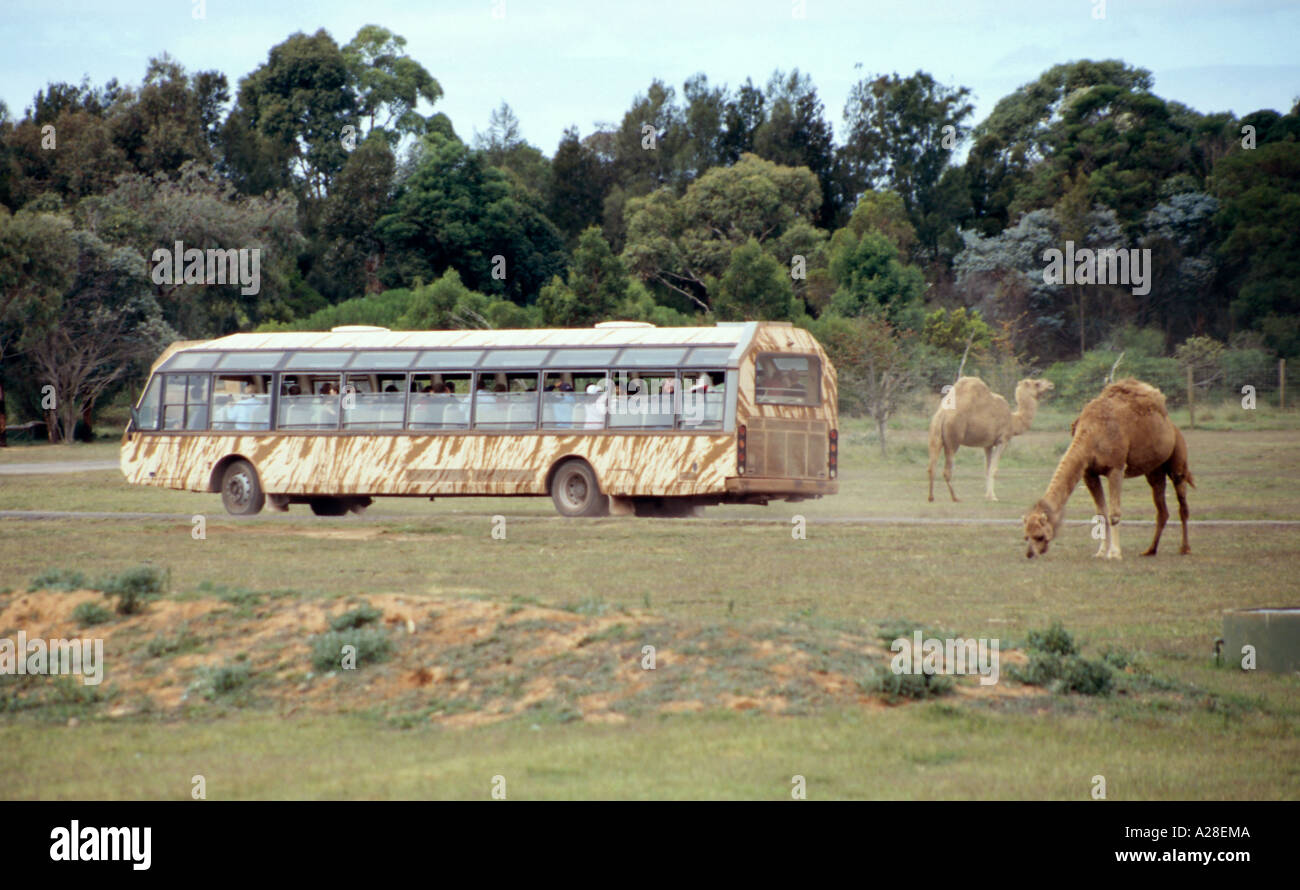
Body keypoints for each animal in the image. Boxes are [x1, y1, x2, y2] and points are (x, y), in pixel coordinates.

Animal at [1023, 378, 1194, 560]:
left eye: (1039, 536)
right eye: (1026, 536)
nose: (1030, 554)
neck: (1092, 432)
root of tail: (1171, 425)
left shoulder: (1116, 468)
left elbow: (1114, 514)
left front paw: (1114, 553)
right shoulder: (1088, 473)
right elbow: (1101, 514)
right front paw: (1100, 552)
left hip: (1178, 461)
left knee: (1182, 503)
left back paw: (1185, 548)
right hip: (1154, 470)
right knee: (1162, 508)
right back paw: (1150, 550)